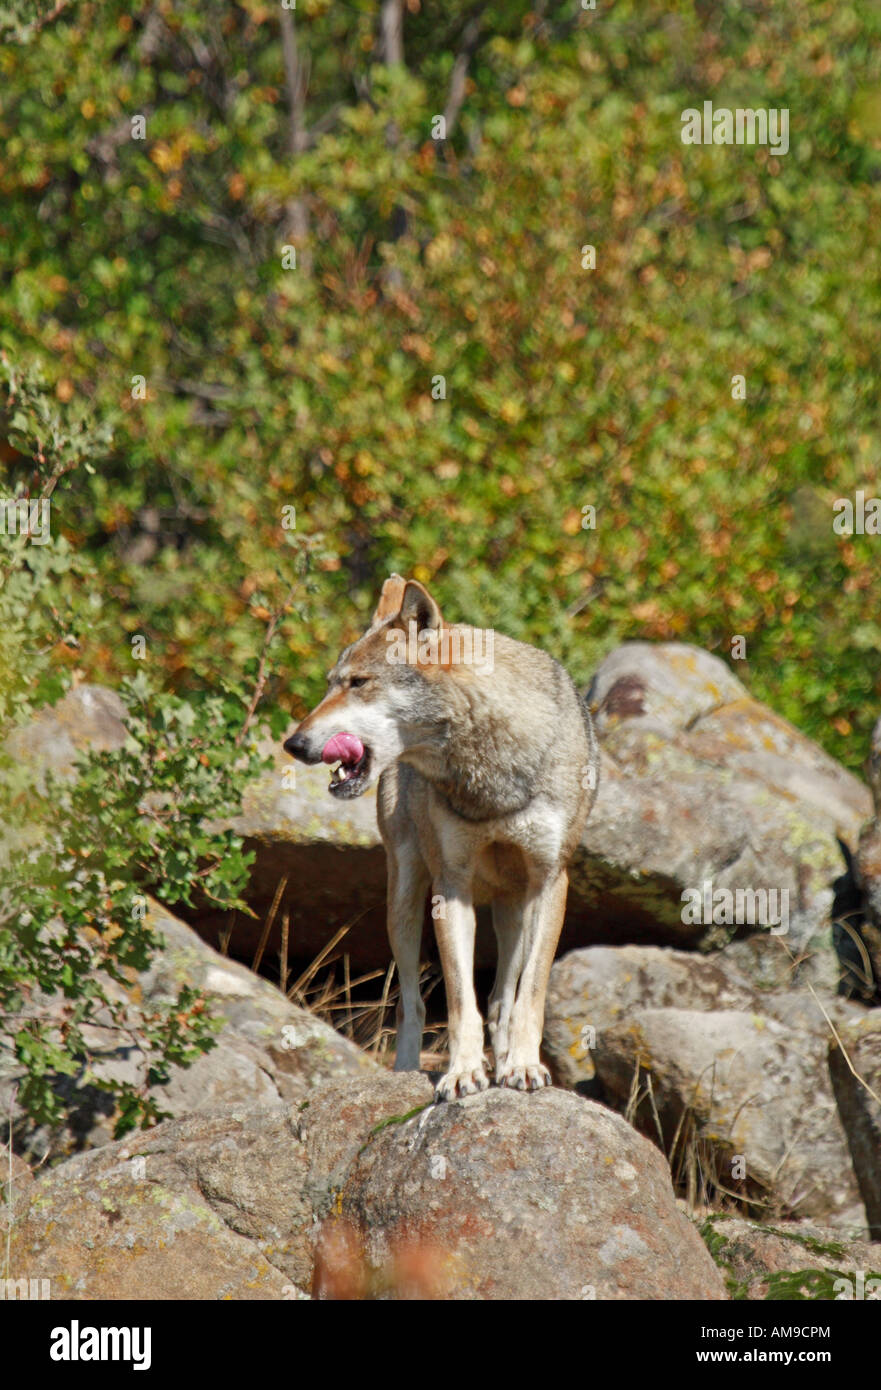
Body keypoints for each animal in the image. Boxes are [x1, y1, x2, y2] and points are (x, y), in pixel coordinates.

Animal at [284, 575, 599, 1100]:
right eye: (331, 682)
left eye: (357, 683)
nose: (293, 743)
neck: (491, 774)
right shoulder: (450, 887)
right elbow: (457, 1000)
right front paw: (463, 1073)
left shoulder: (550, 881)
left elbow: (528, 995)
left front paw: (522, 1066)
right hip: (405, 899)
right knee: (411, 1004)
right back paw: (407, 1070)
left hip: (513, 910)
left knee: (501, 999)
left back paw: (506, 1060)